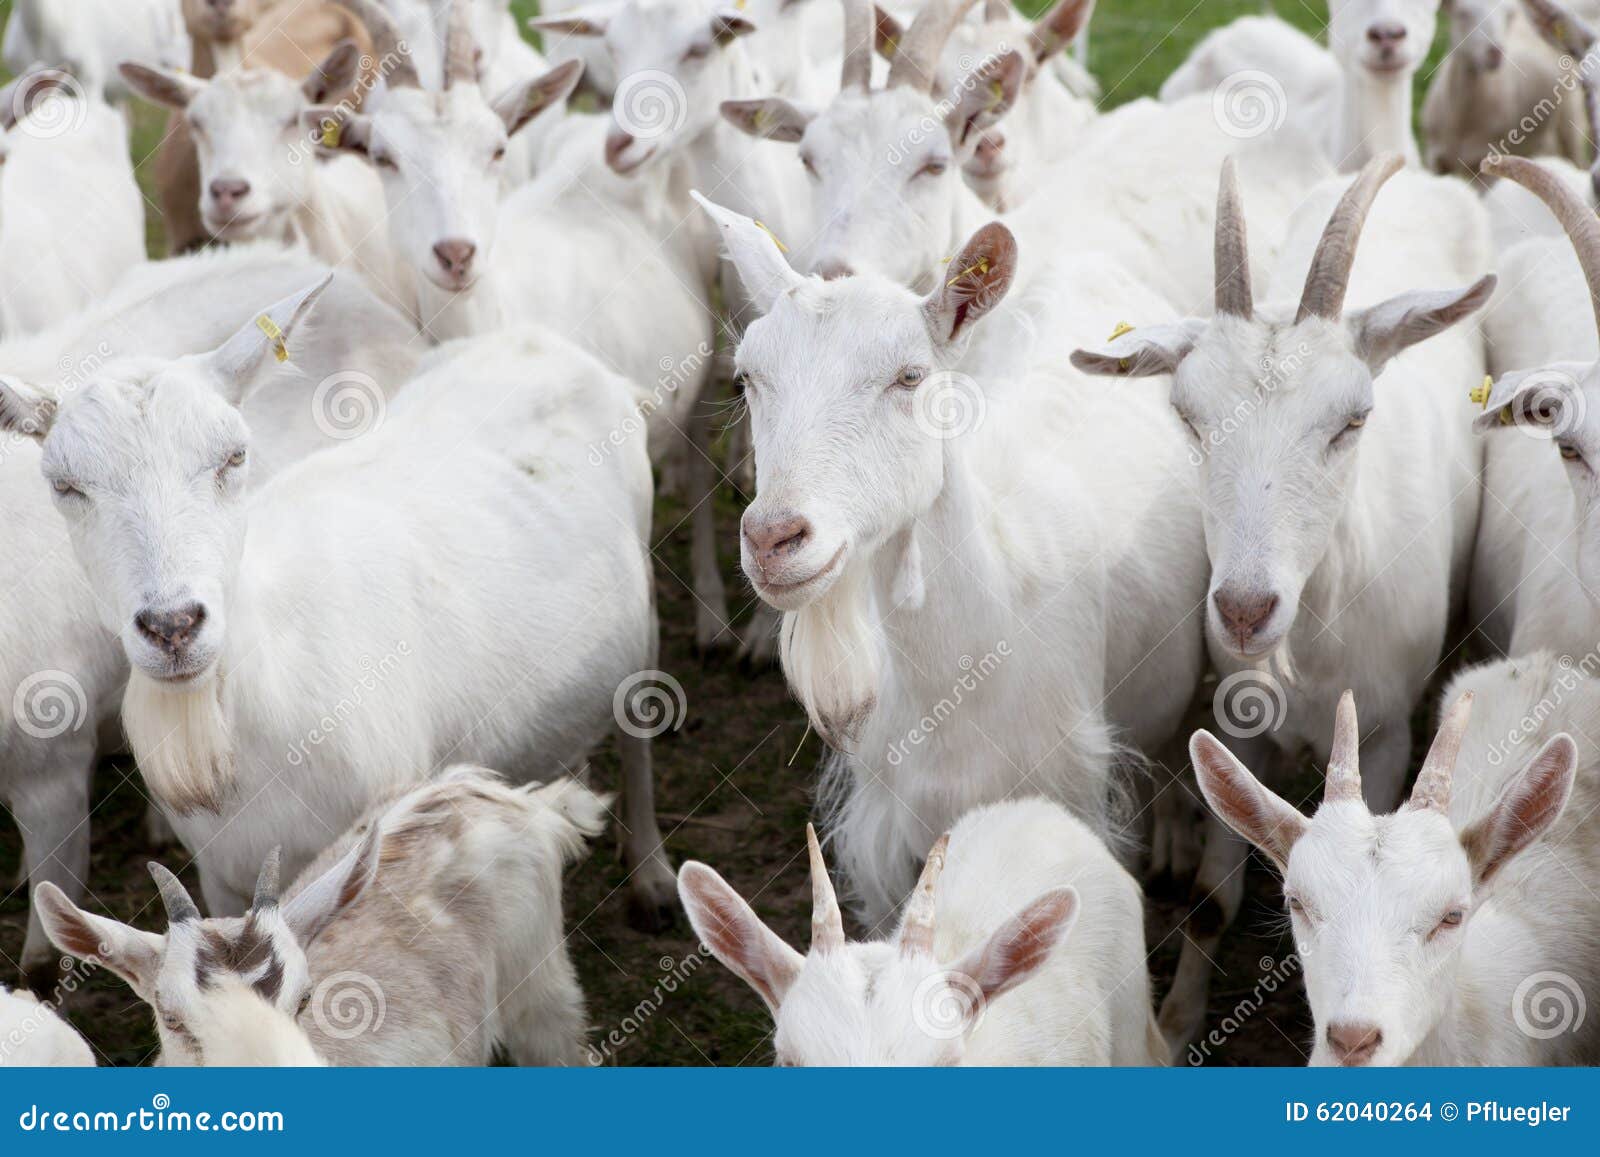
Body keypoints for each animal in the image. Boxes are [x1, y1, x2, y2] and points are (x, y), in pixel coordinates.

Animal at [0, 287, 676, 930]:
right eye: (64, 485)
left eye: (235, 457)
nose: (172, 626)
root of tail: (539, 342)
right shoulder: (220, 877)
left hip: (644, 600)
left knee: (639, 735)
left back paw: (653, 878)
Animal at [1071, 154, 1495, 1053]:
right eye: (1187, 416)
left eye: (1353, 419)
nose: (1242, 608)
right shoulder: (1239, 724)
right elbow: (1210, 902)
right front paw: (1178, 1023)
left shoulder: (1386, 735)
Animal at [1422, 0, 1586, 176]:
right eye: (1462, 14)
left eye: (1508, 17)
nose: (1494, 52)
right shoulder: (1435, 159)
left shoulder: (1487, 157)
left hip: (1570, 122)